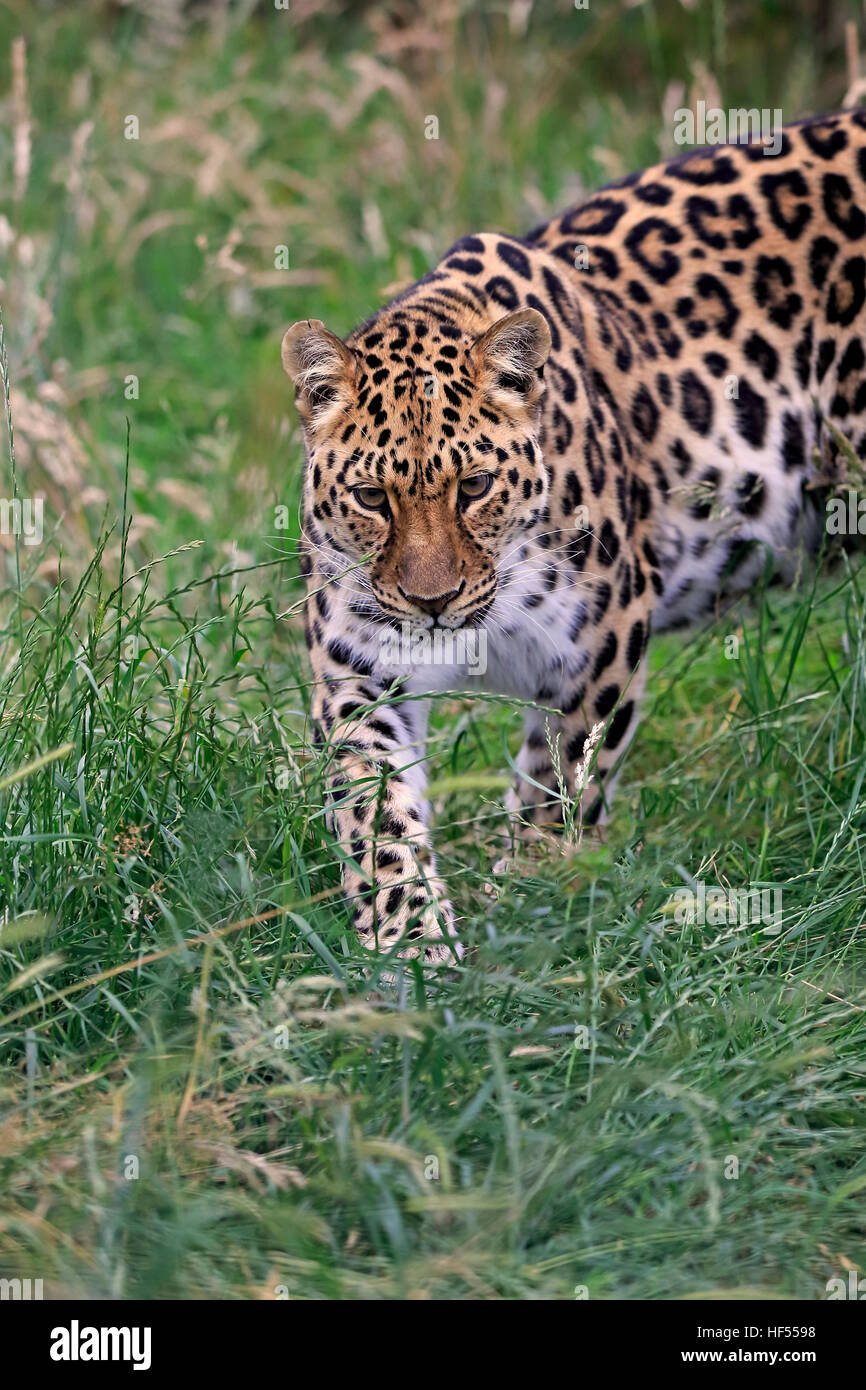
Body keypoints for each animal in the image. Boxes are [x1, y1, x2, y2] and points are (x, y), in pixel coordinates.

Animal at [281, 109, 866, 968]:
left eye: (474, 487)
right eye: (370, 498)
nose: (433, 604)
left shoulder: (604, 644)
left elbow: (559, 784)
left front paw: (532, 900)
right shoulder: (359, 669)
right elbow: (376, 812)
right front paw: (411, 944)